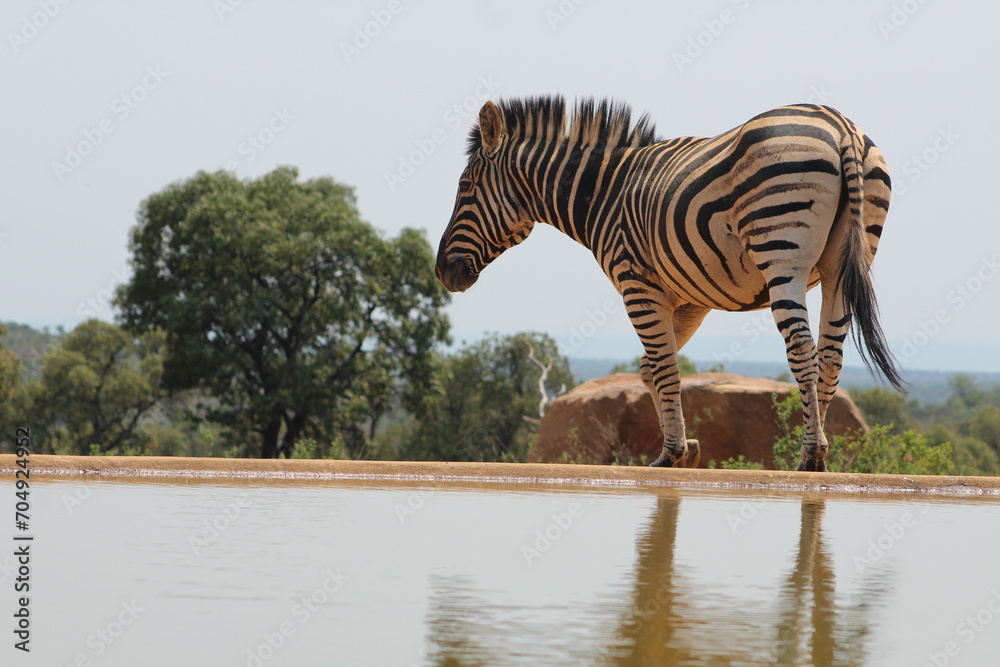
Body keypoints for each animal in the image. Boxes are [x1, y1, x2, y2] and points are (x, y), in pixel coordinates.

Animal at [435, 96, 901, 472]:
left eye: (464, 187)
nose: (441, 272)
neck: (604, 193)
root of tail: (840, 127)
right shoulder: (690, 299)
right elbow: (650, 369)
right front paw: (688, 447)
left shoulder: (637, 284)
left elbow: (662, 367)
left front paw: (670, 453)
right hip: (845, 263)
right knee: (830, 354)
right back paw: (820, 449)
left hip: (781, 251)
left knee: (802, 347)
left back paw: (810, 455)